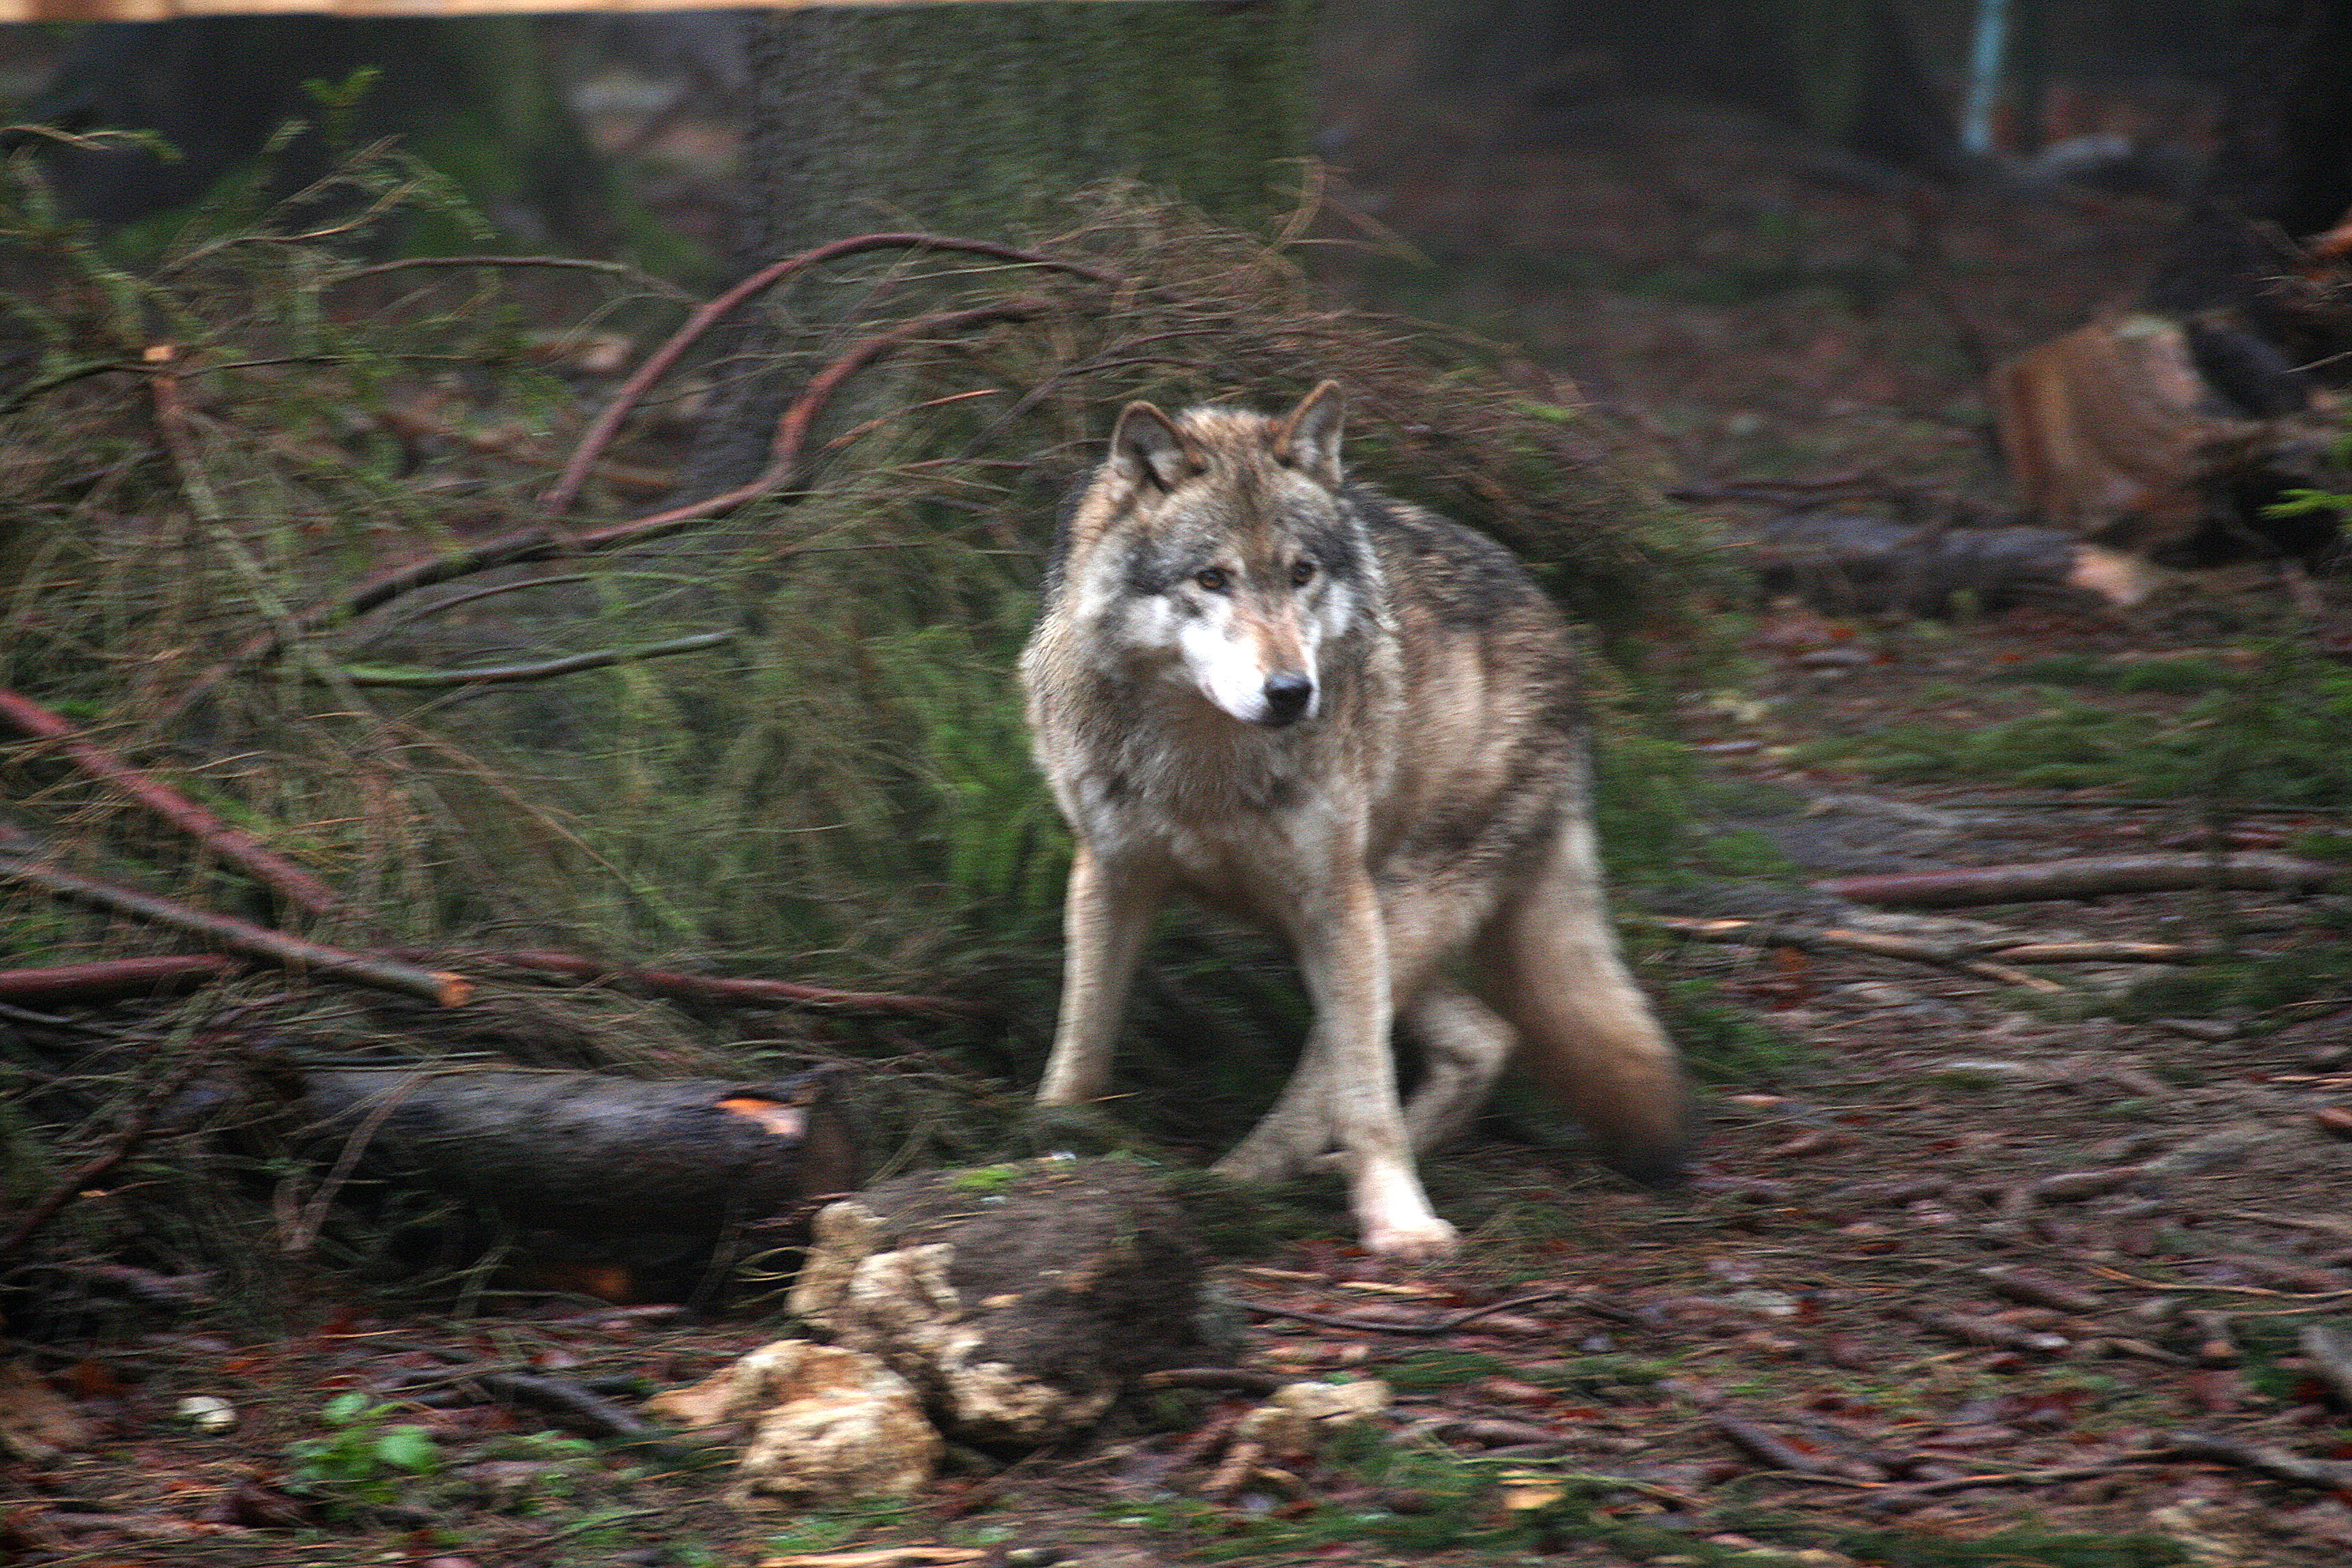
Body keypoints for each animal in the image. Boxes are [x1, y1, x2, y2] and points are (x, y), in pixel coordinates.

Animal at [1018, 382, 1690, 1259]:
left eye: (1301, 573)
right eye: (1213, 578)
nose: (1290, 692)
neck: (1203, 758)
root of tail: (1561, 630)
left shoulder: (1336, 899)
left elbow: (1363, 1087)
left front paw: (1401, 1222)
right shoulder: (1111, 873)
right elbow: (1082, 1041)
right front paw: (1057, 1141)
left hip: (1380, 911)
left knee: (1359, 1066)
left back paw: (1244, 1183)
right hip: (1308, 919)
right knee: (1483, 1037)